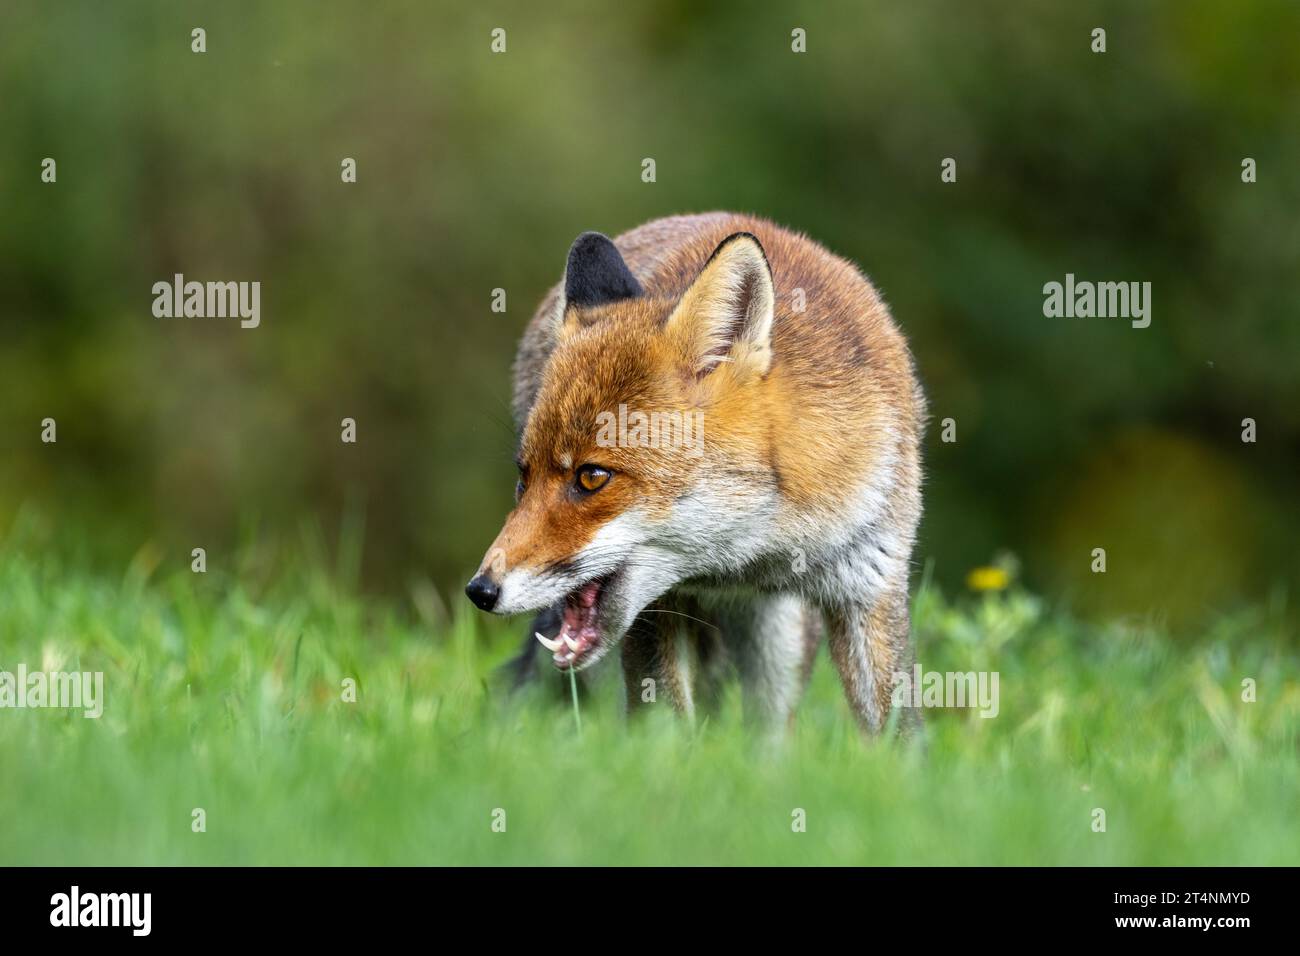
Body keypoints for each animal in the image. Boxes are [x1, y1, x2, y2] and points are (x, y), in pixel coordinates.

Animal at [466, 212, 926, 737]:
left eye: (592, 477)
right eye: (523, 477)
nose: (480, 591)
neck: (748, 557)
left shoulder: (872, 585)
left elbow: (898, 733)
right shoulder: (659, 607)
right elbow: (664, 724)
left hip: (780, 645)